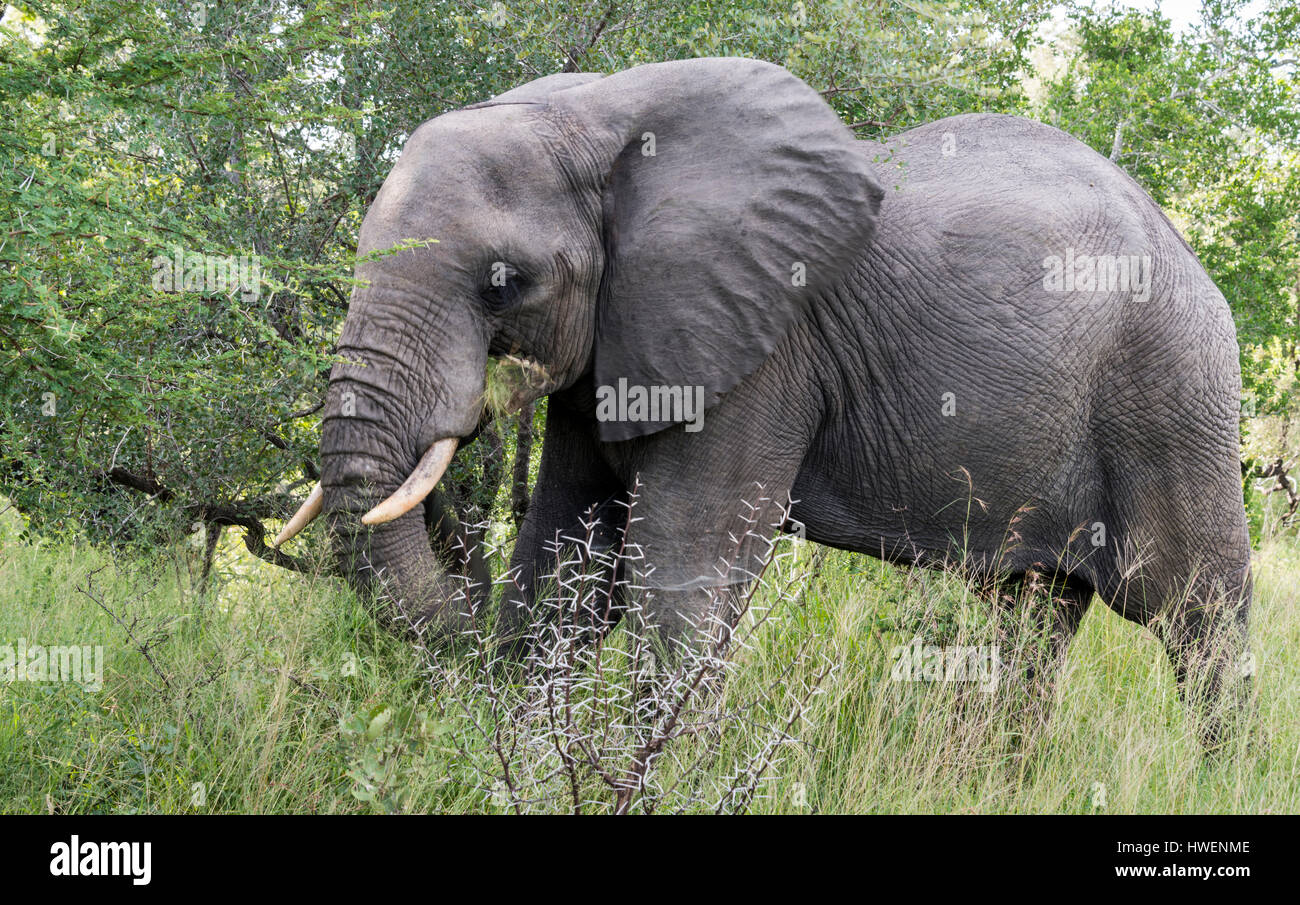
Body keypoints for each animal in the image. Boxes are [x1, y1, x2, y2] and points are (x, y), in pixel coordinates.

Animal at [275, 57, 1253, 745]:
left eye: (501, 281)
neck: (597, 113)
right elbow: (565, 552)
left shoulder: (765, 346)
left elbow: (679, 571)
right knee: (1028, 619)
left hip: (1173, 391)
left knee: (1198, 616)